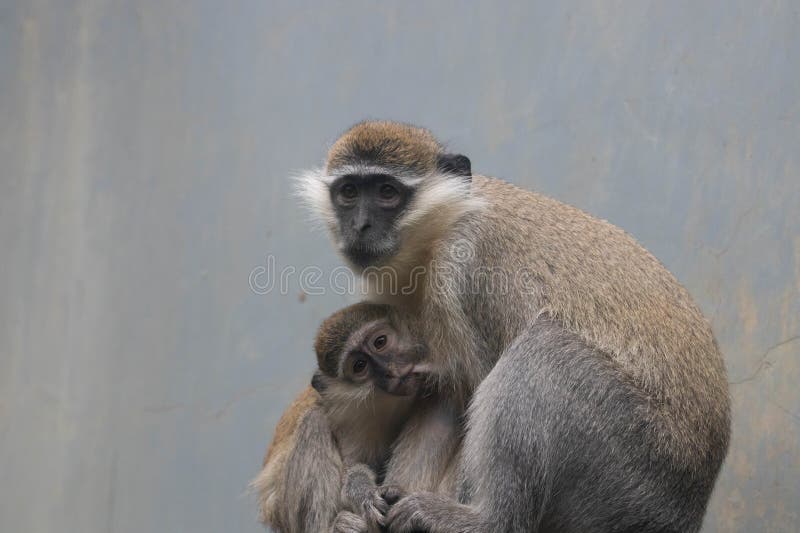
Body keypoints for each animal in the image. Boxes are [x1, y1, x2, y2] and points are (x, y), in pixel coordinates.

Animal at [252, 302, 454, 533]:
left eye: (380, 342)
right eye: (359, 366)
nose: (390, 370)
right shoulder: (350, 415)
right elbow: (355, 464)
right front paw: (362, 492)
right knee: (314, 422)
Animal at [294, 121, 731, 532]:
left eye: (388, 192)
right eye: (349, 192)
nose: (360, 225)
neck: (440, 231)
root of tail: (686, 510)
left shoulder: (466, 270)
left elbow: (471, 389)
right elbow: (445, 397)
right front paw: (367, 490)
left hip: (637, 467)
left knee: (545, 348)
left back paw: (488, 519)